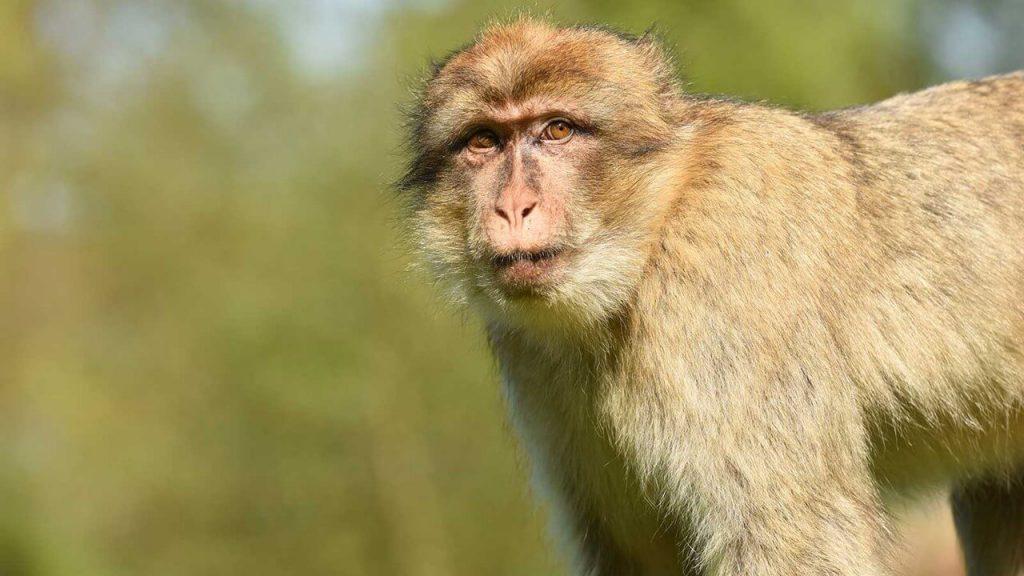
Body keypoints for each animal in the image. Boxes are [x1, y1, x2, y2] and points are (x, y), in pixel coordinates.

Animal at [399, 17, 1024, 576]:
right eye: (484, 141)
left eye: (557, 131)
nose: (512, 207)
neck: (651, 238)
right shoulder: (537, 363)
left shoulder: (720, 300)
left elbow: (793, 536)